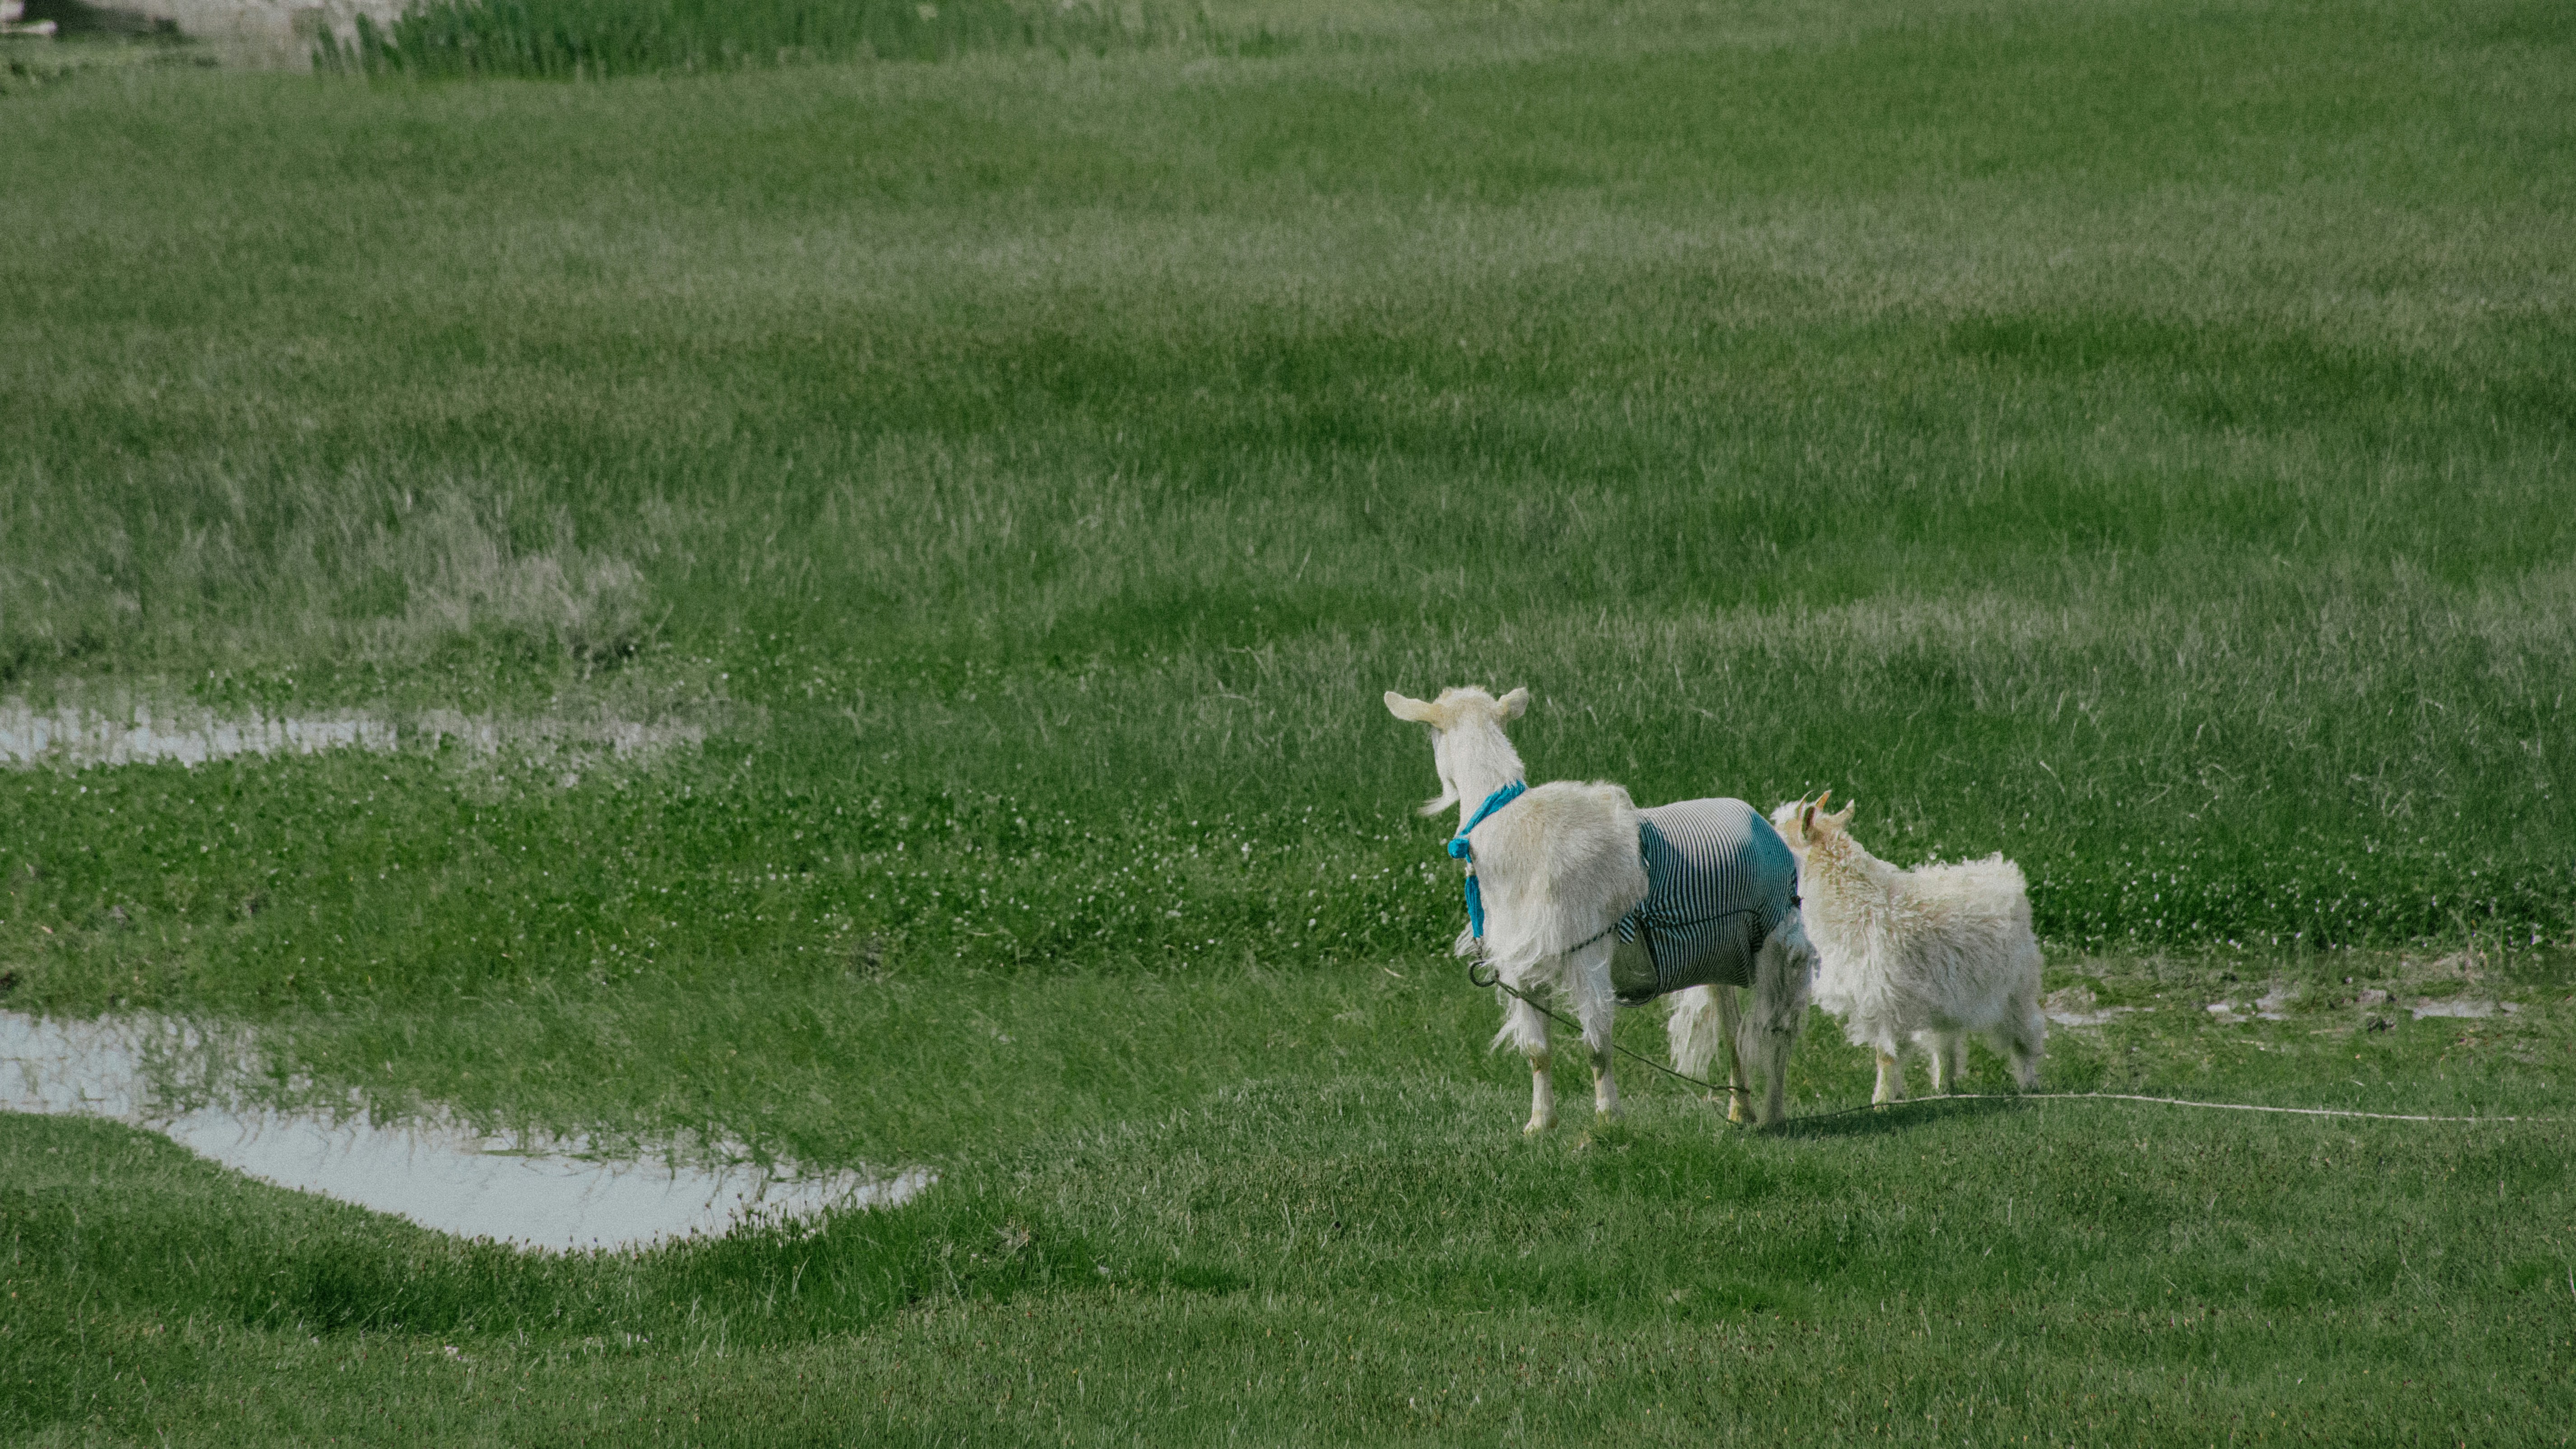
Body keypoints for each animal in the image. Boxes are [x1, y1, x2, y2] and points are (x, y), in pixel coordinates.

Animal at [1386, 686, 1815, 1131]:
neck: (1507, 822)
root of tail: (1766, 827)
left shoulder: (1587, 948)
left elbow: (1597, 1046)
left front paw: (1609, 1119)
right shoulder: (1524, 958)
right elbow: (1537, 1050)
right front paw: (1539, 1124)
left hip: (1779, 939)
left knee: (1778, 1028)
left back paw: (1773, 1114)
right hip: (1722, 954)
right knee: (1734, 1030)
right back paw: (1741, 1110)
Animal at [1769, 793, 2045, 1104]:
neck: (1859, 905)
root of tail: (2002, 872)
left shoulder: (1887, 996)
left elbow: (1886, 1055)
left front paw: (1881, 1102)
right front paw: (1895, 1096)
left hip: (2017, 988)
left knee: (2025, 1035)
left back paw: (2030, 1086)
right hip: (1950, 995)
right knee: (1946, 1041)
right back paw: (1944, 1088)